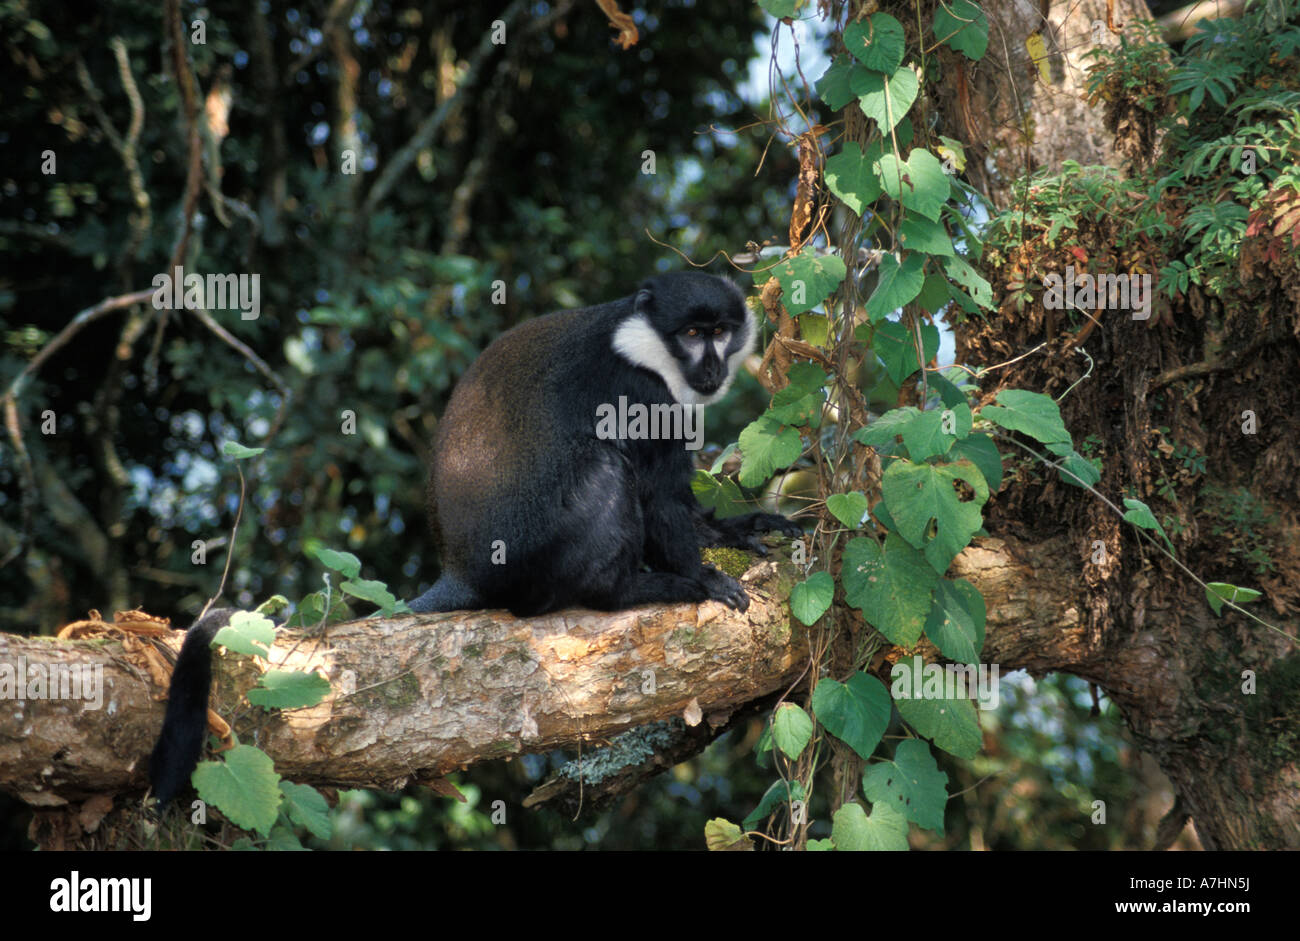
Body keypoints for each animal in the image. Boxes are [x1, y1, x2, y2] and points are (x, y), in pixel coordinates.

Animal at [149, 271, 800, 805]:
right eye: (691, 333)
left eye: (720, 332)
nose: (711, 366)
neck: (641, 345)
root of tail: (462, 568)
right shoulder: (642, 394)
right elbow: (660, 496)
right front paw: (701, 577)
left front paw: (742, 531)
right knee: (605, 469)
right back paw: (625, 591)